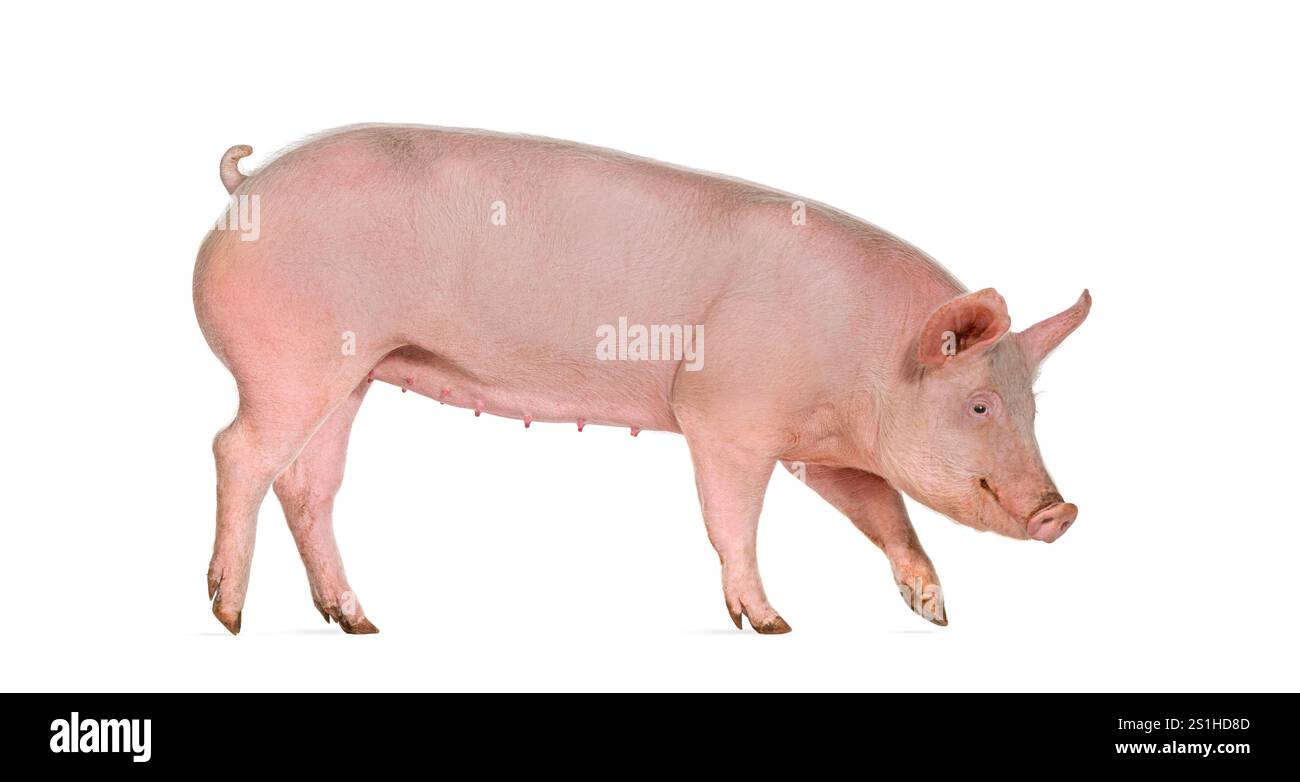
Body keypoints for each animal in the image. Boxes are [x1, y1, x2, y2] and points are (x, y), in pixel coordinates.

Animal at [194, 124, 1090, 635]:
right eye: (979, 403)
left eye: (1032, 408)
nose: (1062, 511)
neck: (866, 365)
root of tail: (246, 187)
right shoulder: (722, 416)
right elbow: (732, 523)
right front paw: (771, 626)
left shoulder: (823, 450)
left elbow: (885, 513)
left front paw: (937, 615)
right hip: (288, 359)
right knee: (237, 451)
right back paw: (231, 616)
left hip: (353, 372)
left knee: (308, 485)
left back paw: (358, 624)